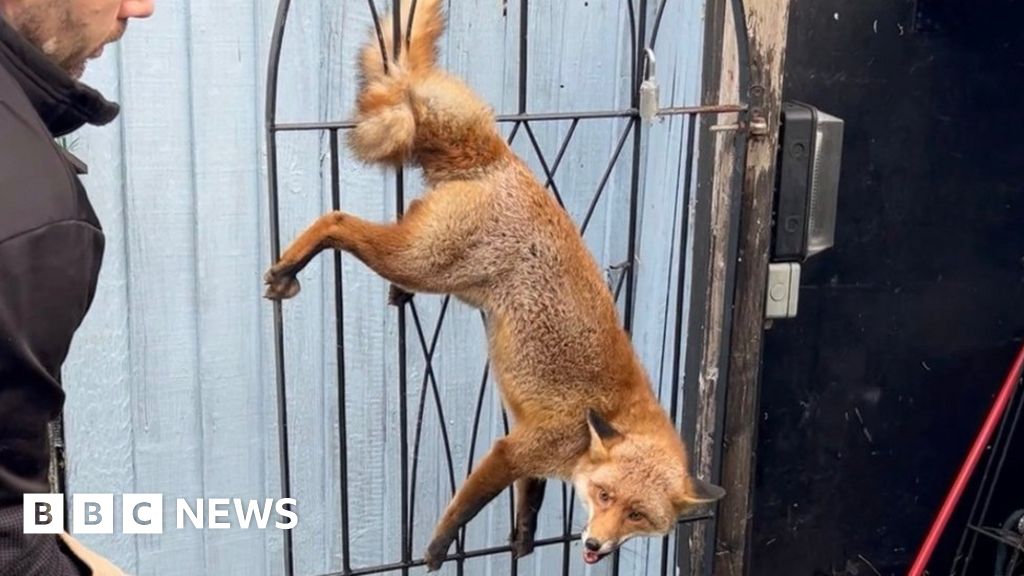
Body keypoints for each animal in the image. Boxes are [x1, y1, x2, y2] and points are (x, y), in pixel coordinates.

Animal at [262, 0, 725, 570]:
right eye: (605, 496)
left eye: (637, 515)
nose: (593, 545)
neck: (596, 425)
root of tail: (503, 159)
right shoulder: (518, 447)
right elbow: (469, 502)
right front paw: (437, 546)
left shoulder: (530, 448)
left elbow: (531, 499)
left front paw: (523, 539)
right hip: (423, 260)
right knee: (337, 220)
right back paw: (289, 268)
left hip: (449, 274)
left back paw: (393, 292)